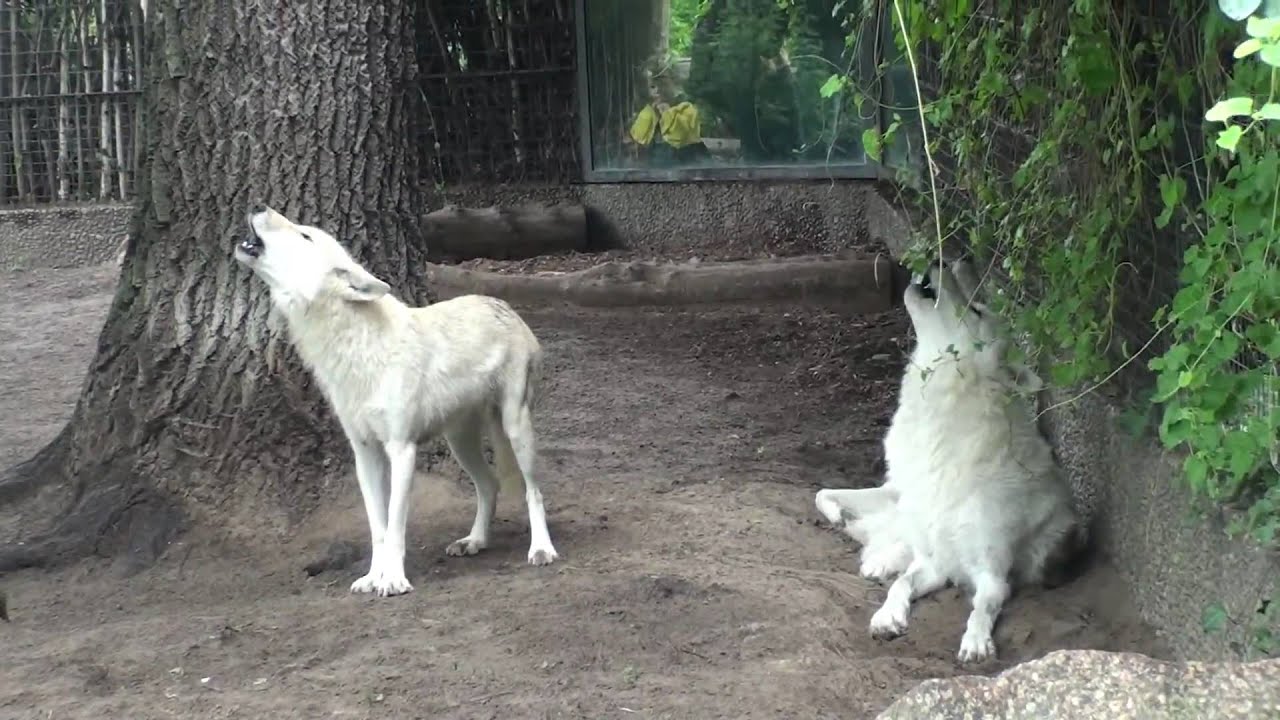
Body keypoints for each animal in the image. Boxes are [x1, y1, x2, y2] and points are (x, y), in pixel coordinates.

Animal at [234, 205, 559, 597]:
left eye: (305, 235)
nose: (260, 207)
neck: (355, 351)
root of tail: (503, 304)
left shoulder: (401, 449)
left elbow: (395, 524)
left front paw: (393, 580)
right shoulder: (365, 454)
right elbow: (378, 527)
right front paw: (373, 578)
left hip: (515, 427)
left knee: (533, 491)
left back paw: (541, 549)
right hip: (459, 443)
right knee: (489, 485)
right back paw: (474, 541)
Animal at [814, 258, 1081, 663]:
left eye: (977, 310)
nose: (945, 260)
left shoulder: (991, 574)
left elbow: (983, 606)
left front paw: (976, 642)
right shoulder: (934, 560)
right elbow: (902, 583)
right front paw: (887, 616)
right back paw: (879, 558)